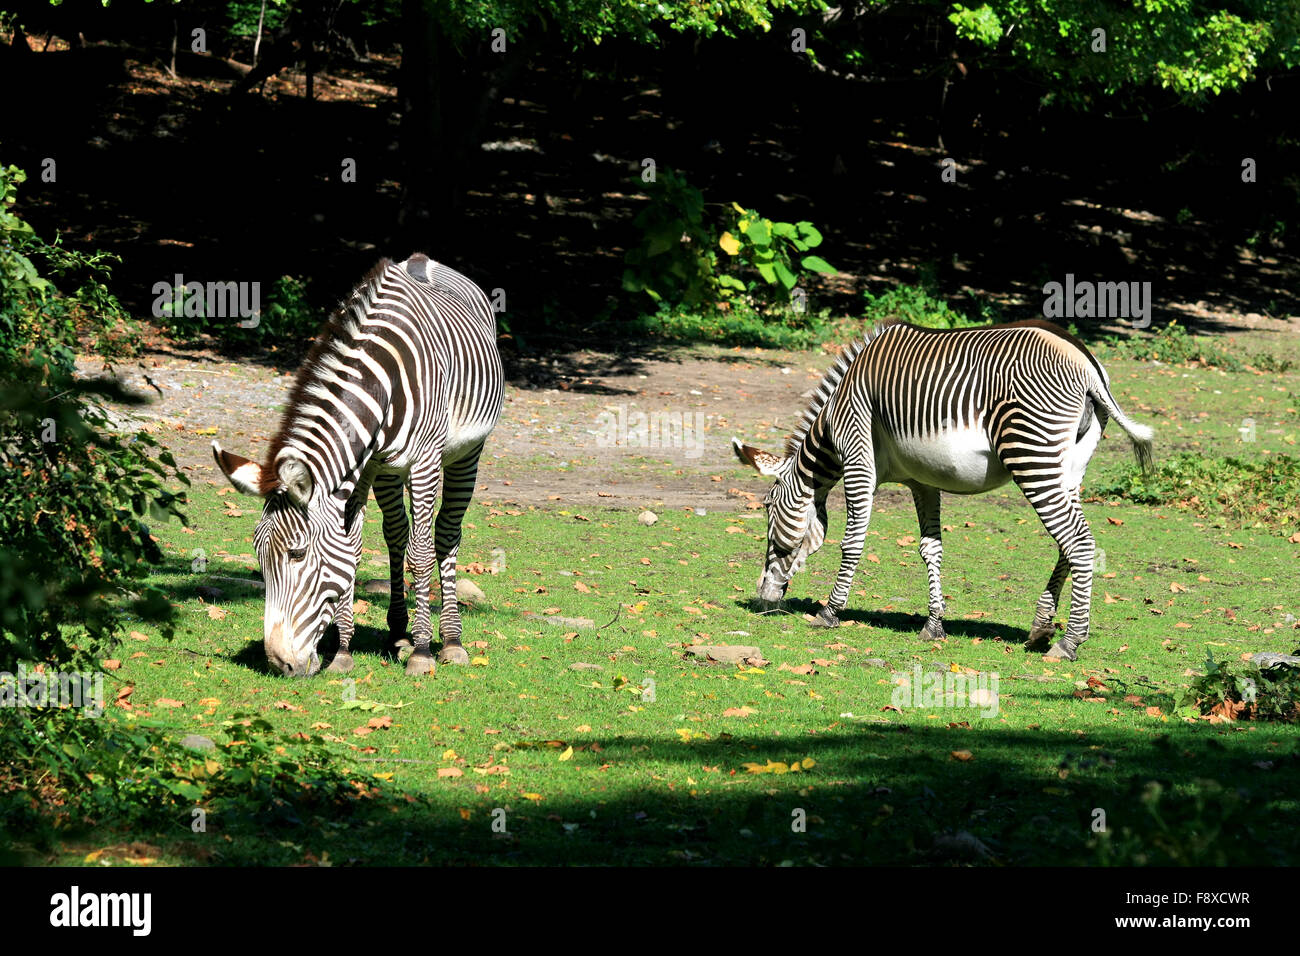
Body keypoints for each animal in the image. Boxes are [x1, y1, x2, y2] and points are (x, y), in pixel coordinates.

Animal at [212, 254, 504, 677]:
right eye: (259, 556)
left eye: (297, 554)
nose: (280, 664)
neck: (381, 383)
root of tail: (425, 260)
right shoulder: (364, 467)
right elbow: (352, 550)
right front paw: (344, 652)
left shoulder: (425, 462)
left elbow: (420, 555)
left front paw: (421, 652)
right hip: (389, 470)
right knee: (397, 534)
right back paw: (398, 633)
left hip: (466, 454)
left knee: (445, 534)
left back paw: (449, 641)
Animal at [732, 318, 1154, 662]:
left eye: (767, 506)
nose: (762, 599)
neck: (833, 420)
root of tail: (1087, 362)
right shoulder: (923, 481)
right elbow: (930, 548)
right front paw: (934, 625)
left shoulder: (857, 457)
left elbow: (852, 541)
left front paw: (829, 613)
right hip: (1071, 466)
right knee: (1069, 542)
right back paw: (1040, 629)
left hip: (1031, 452)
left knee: (1078, 541)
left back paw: (1069, 642)